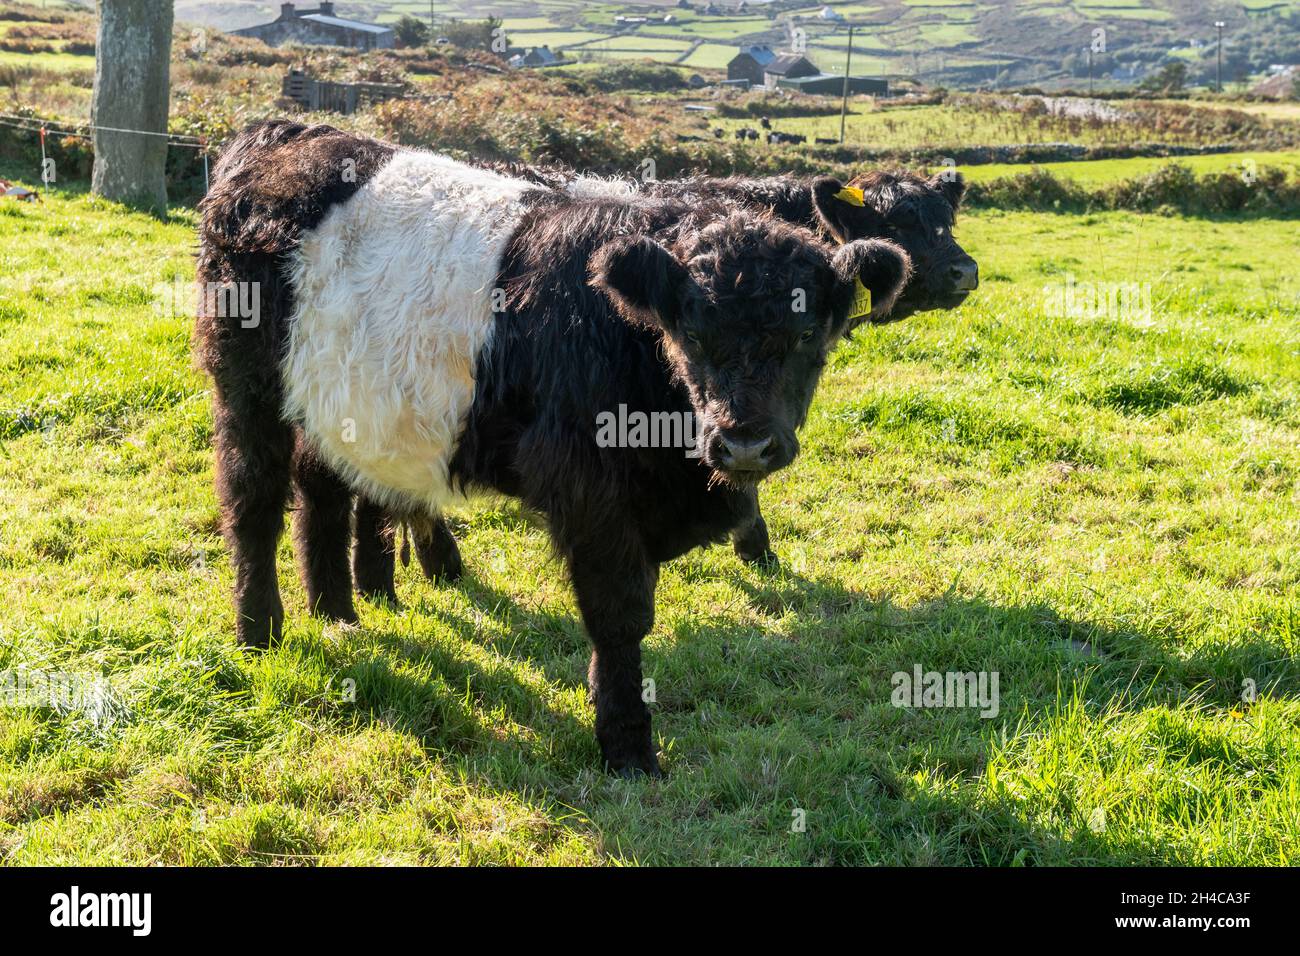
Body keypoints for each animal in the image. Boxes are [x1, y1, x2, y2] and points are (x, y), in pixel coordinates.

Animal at [195, 120, 911, 776]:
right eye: (692, 334)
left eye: (807, 336)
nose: (742, 445)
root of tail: (281, 133)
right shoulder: (588, 490)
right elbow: (620, 615)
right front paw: (627, 747)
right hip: (246, 387)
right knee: (252, 499)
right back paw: (259, 632)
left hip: (332, 400)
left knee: (321, 491)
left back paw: (336, 612)